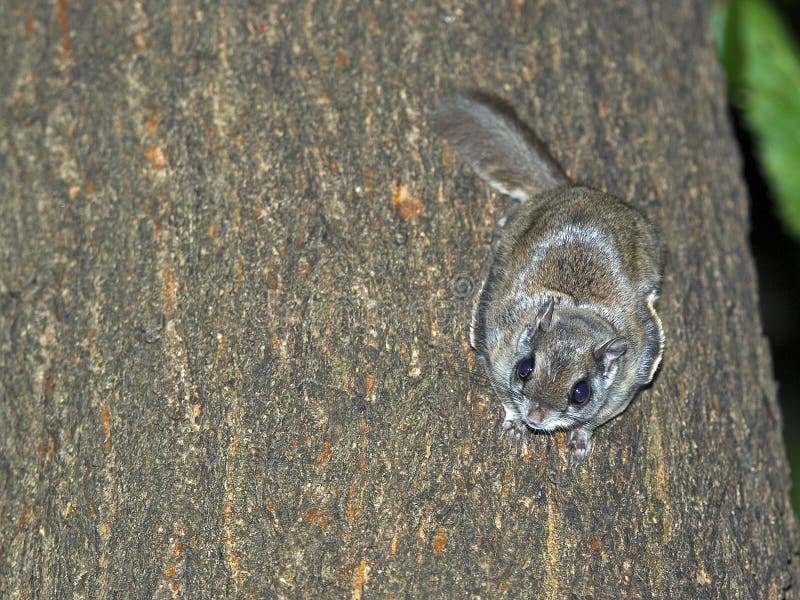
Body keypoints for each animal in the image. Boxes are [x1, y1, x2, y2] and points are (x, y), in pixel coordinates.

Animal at [432, 94, 665, 466]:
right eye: (524, 369)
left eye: (581, 393)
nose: (536, 416)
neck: (578, 310)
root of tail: (570, 190)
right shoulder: (495, 345)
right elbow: (505, 394)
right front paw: (515, 423)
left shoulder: (627, 381)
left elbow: (595, 419)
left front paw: (580, 438)